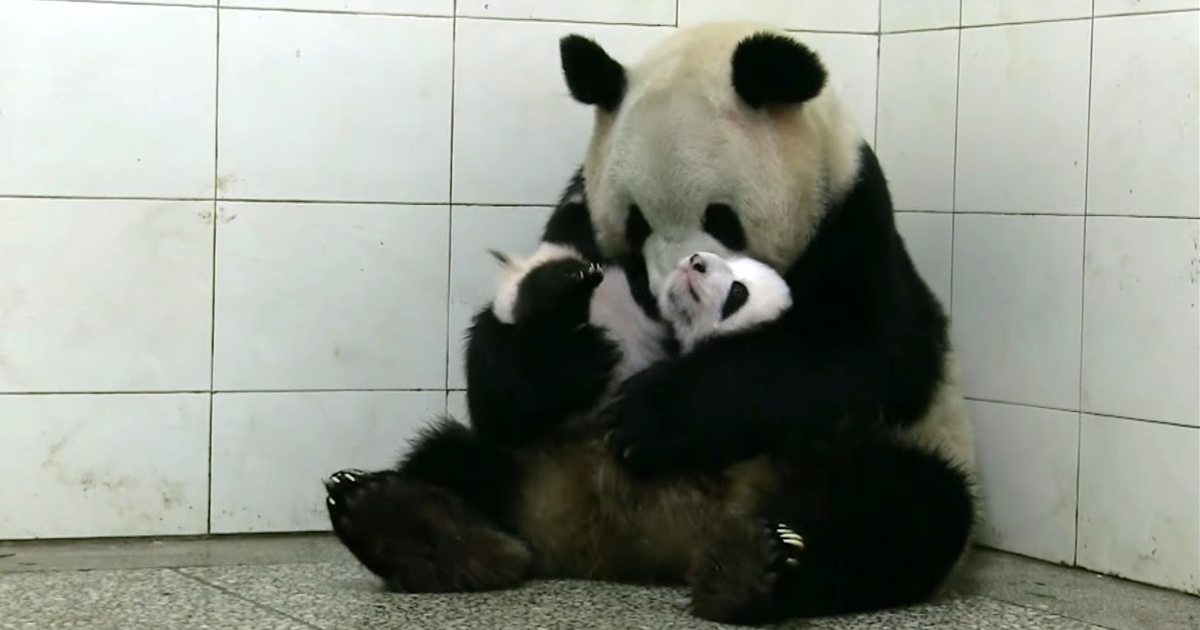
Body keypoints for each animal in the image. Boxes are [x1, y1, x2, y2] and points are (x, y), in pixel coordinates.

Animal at [323, 21, 978, 626]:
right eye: (635, 224)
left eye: (722, 218)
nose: (670, 288)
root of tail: (633, 545)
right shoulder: (579, 212)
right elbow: (498, 376)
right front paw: (573, 357)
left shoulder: (852, 218)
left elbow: (864, 356)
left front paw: (647, 415)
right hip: (541, 454)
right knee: (456, 455)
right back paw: (406, 525)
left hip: (856, 459)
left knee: (902, 511)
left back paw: (757, 569)